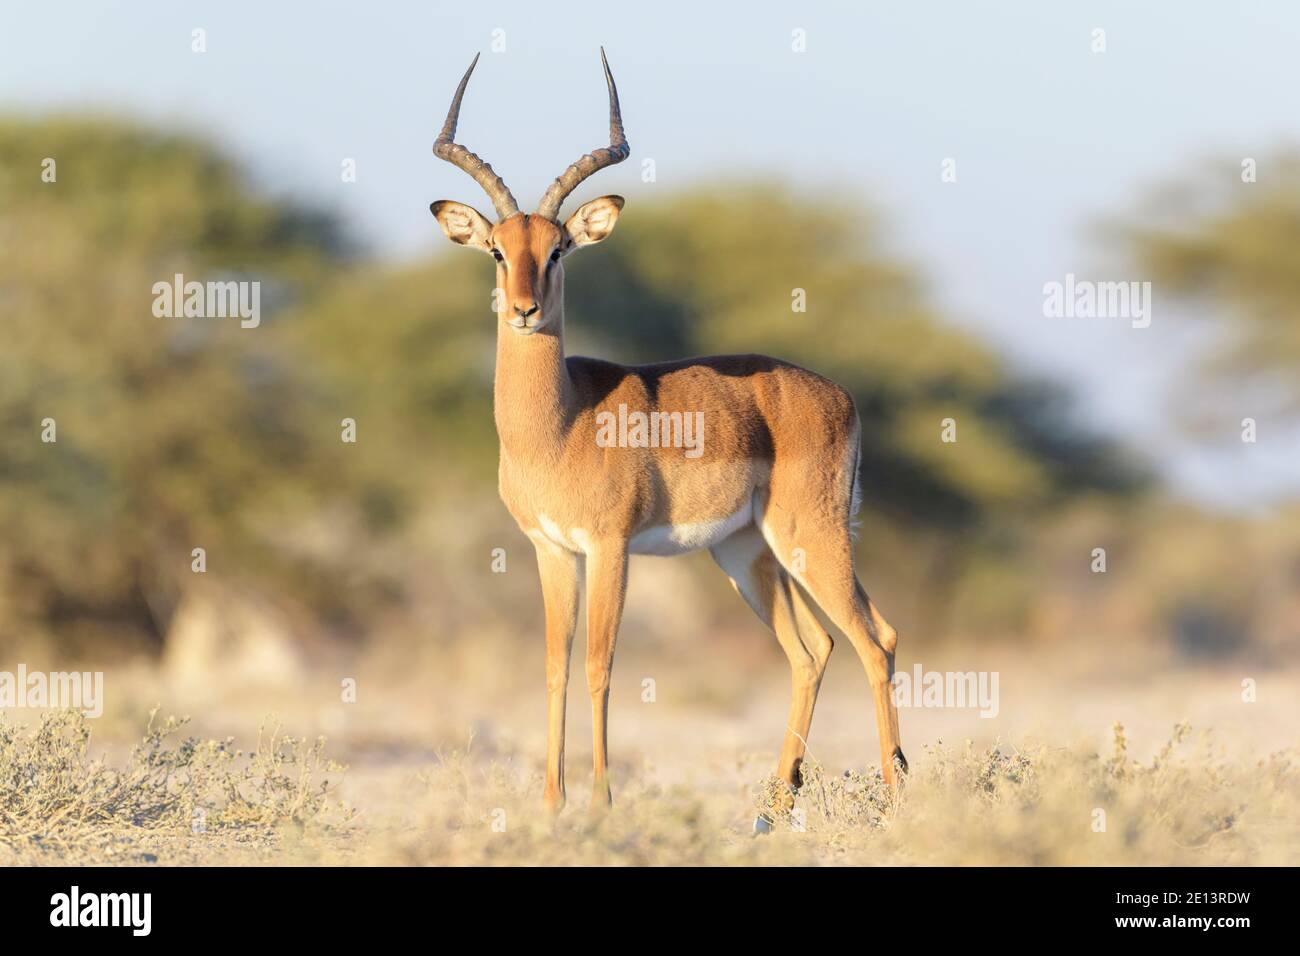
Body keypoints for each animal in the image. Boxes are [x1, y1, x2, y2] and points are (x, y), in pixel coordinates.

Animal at [430, 50, 907, 824]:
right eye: (498, 251)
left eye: (558, 249)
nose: (525, 310)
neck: (559, 424)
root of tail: (841, 395)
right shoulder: (550, 549)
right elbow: (555, 666)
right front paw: (551, 803)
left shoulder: (609, 546)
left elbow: (599, 663)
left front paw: (600, 800)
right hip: (746, 552)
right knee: (813, 650)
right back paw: (774, 801)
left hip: (812, 535)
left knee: (875, 638)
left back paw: (896, 794)